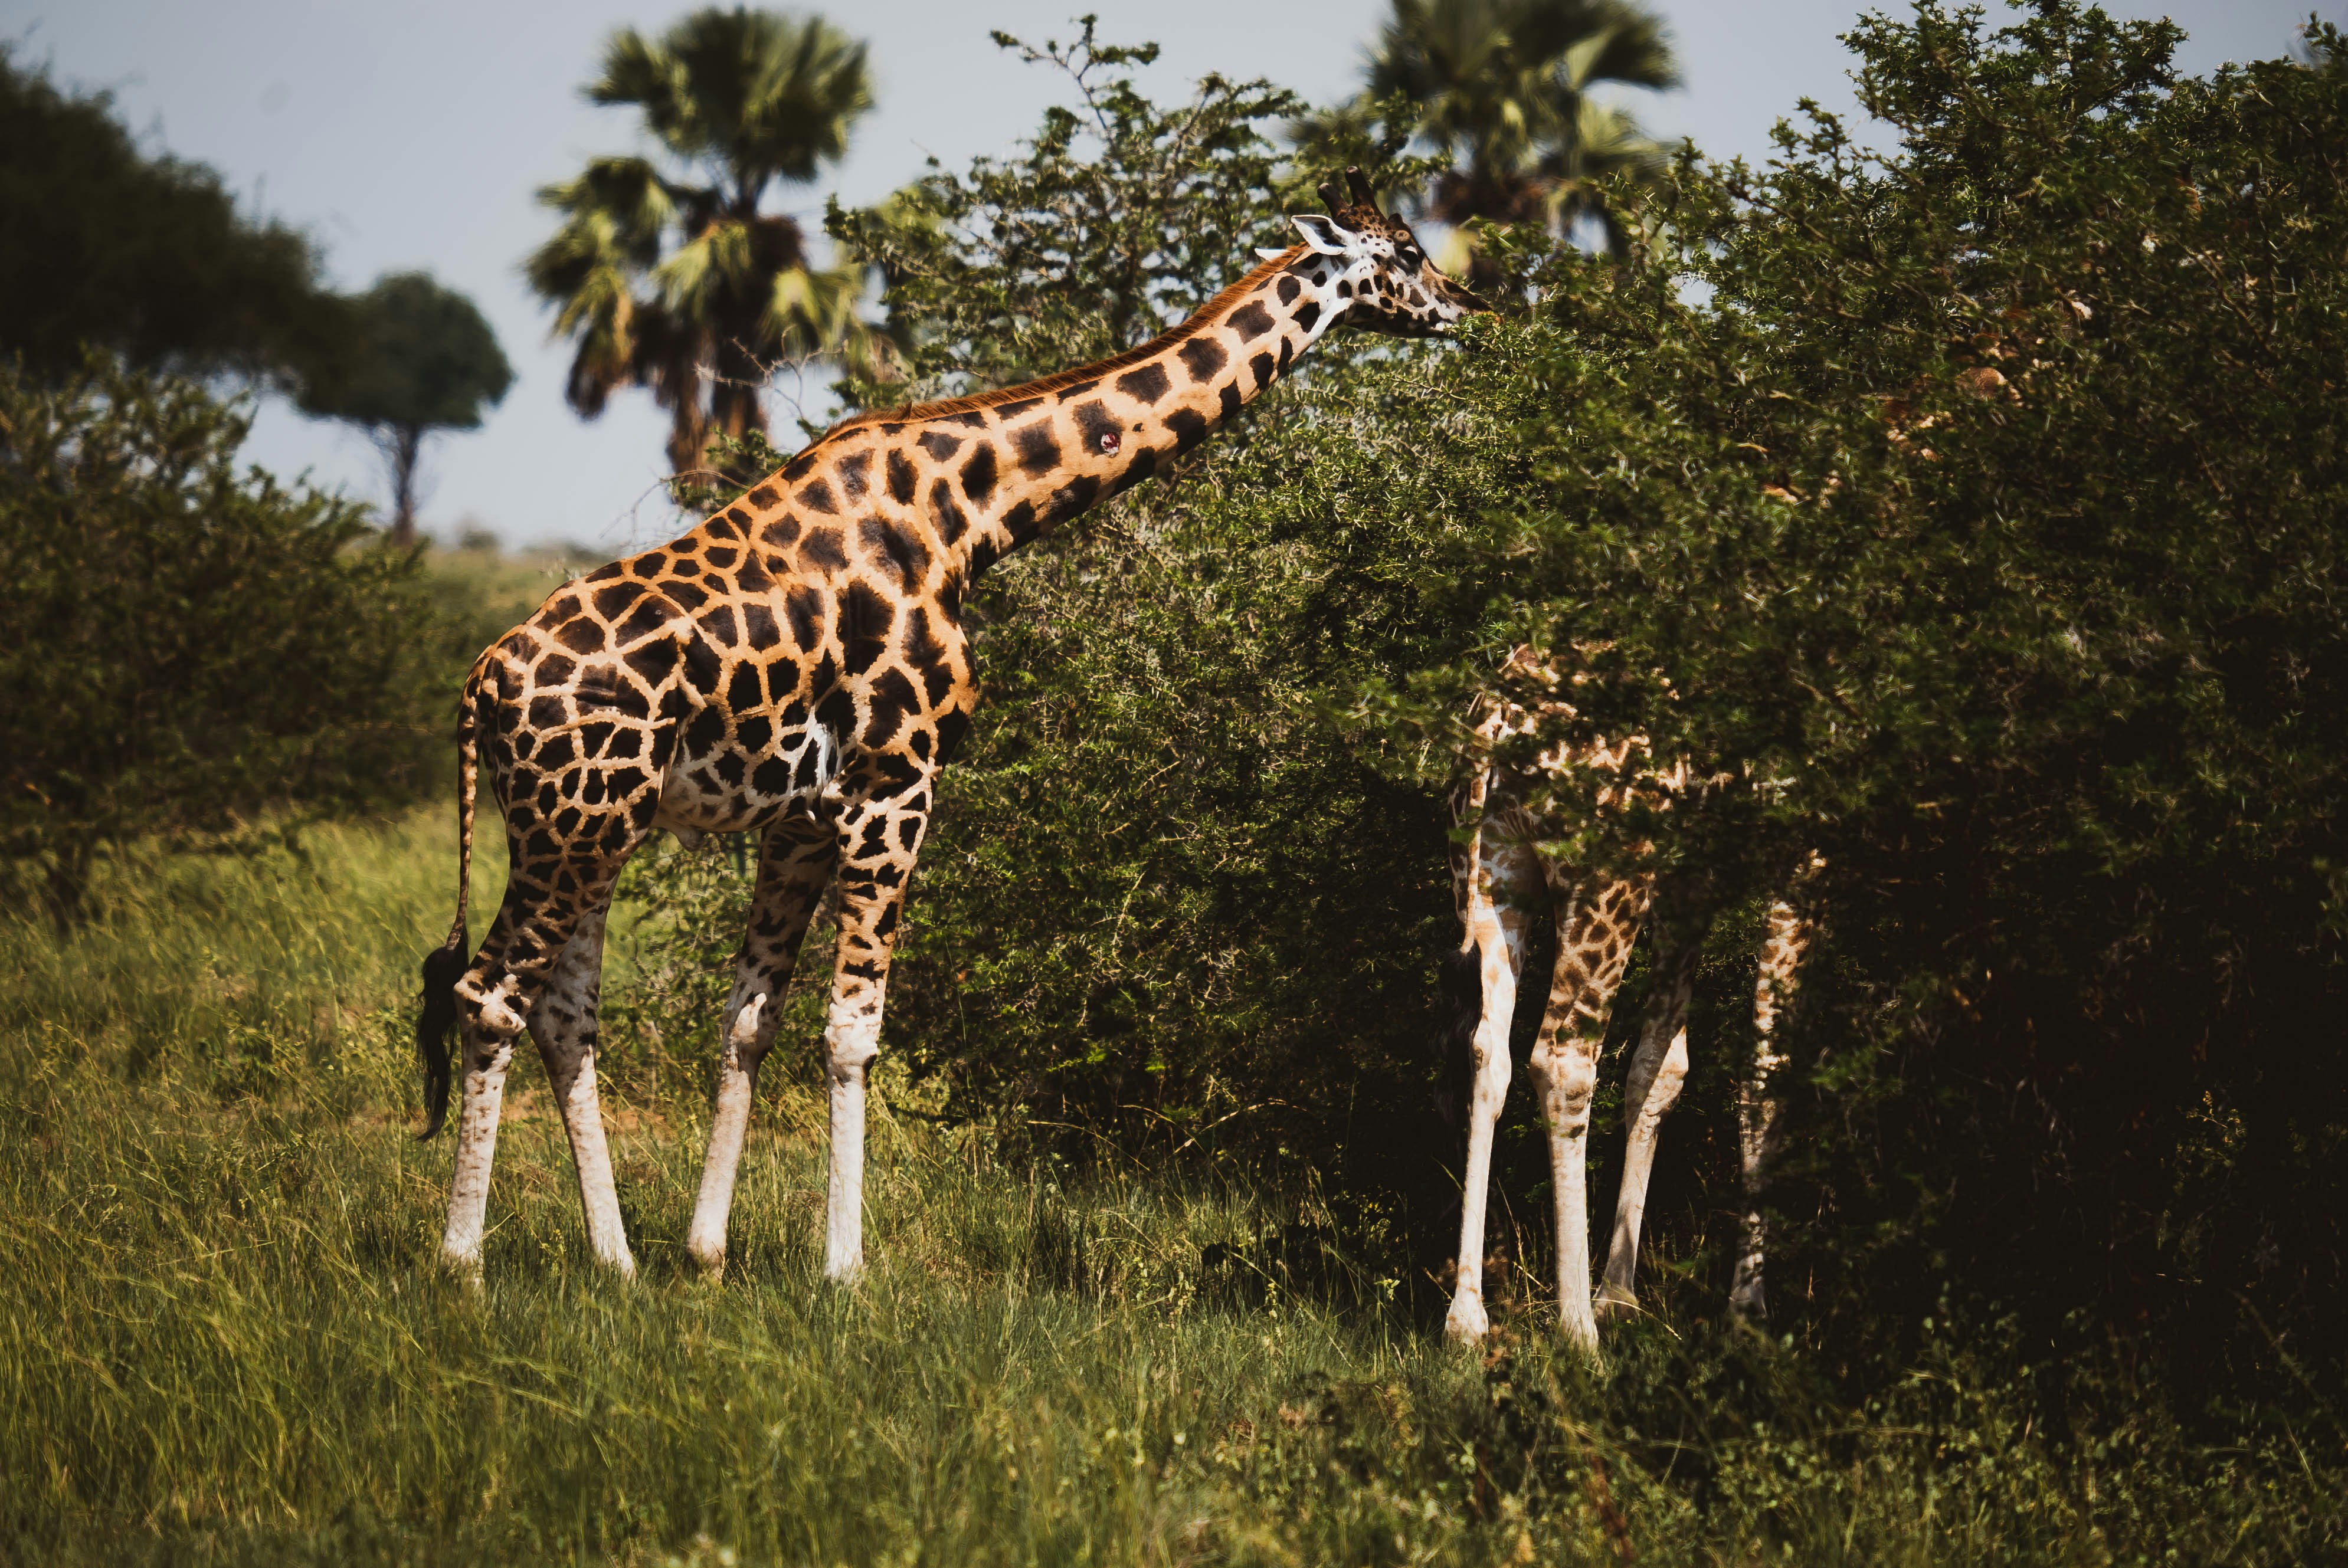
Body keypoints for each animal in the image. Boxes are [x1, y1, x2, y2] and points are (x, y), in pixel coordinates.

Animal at [414, 170, 1484, 1284]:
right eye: (1406, 253)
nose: (1472, 304)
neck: (970, 512)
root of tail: (480, 687)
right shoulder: (898, 783)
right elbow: (851, 1031)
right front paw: (843, 1269)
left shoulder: (802, 815)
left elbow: (748, 1019)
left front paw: (707, 1249)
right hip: (571, 823)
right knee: (490, 994)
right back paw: (460, 1262)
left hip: (590, 828)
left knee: (560, 1012)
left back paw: (616, 1261)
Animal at [1441, 645, 1821, 1354]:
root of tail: (1498, 722)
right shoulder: (1801, 853)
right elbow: (1768, 1074)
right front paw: (1747, 1312)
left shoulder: (1690, 881)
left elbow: (1659, 1070)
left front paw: (1619, 1295)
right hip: (1606, 878)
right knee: (1562, 1058)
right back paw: (1576, 1332)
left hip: (1495, 873)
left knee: (1488, 1052)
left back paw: (1467, 1317)